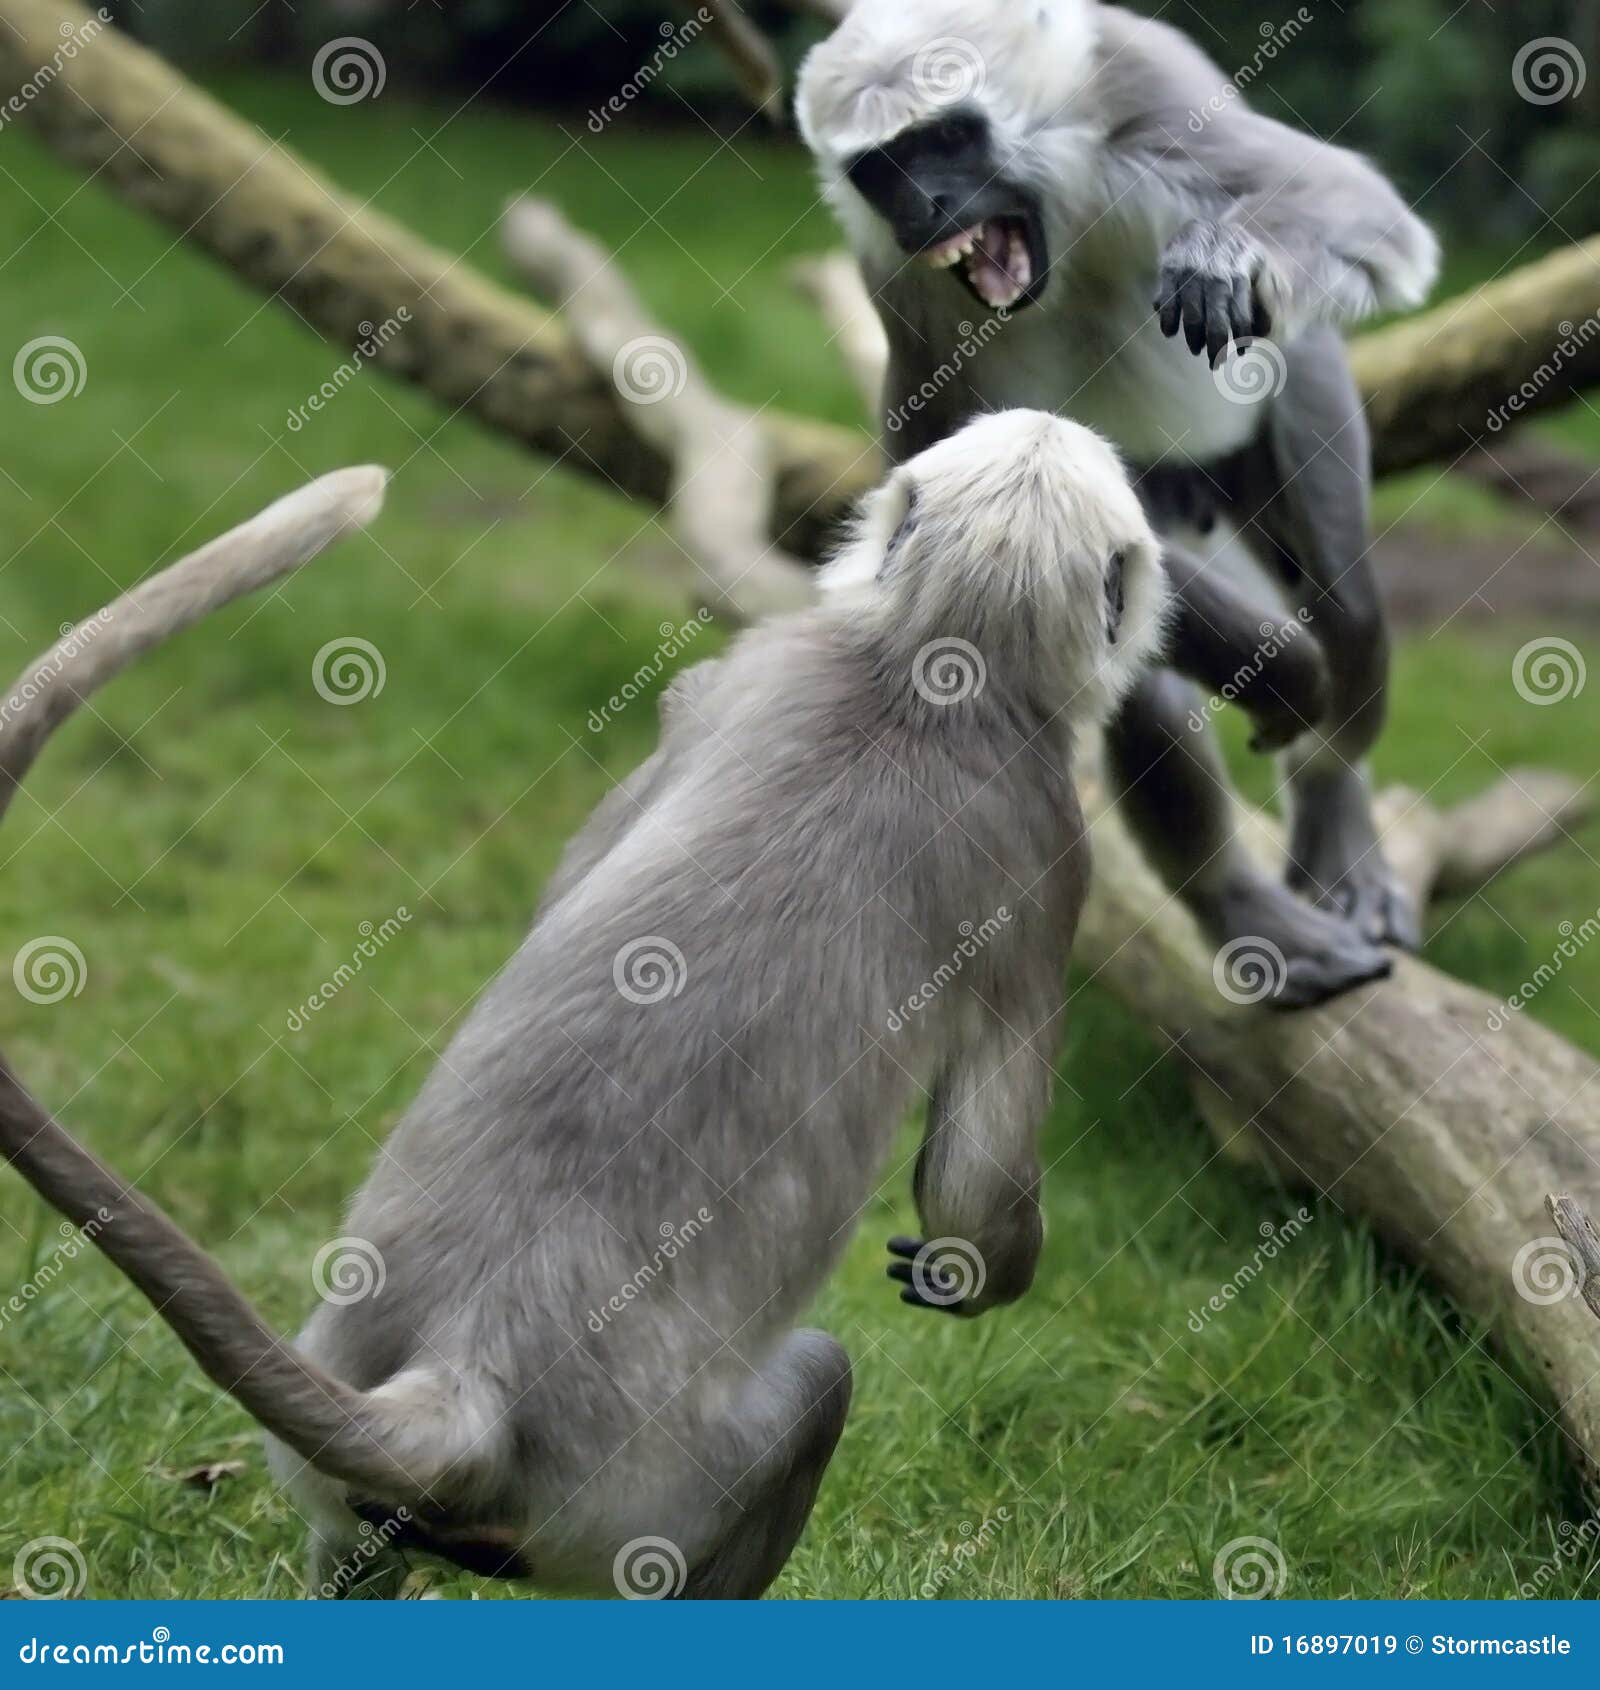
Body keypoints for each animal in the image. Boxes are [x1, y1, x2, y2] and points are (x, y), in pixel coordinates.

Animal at [0, 411, 1170, 1599]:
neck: (929, 677)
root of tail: (460, 1378)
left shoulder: (753, 673)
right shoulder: (1047, 837)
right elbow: (975, 1188)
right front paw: (970, 1271)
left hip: (348, 1469)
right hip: (642, 1506)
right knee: (816, 1386)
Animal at [796, 0, 1442, 1009]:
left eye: (947, 139)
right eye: (880, 169)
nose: (921, 207)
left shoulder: (1143, 102)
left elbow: (1350, 201)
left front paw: (1226, 258)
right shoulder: (897, 280)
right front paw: (1276, 673)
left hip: (1296, 397)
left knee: (1351, 609)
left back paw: (1333, 800)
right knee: (1145, 665)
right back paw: (1244, 908)